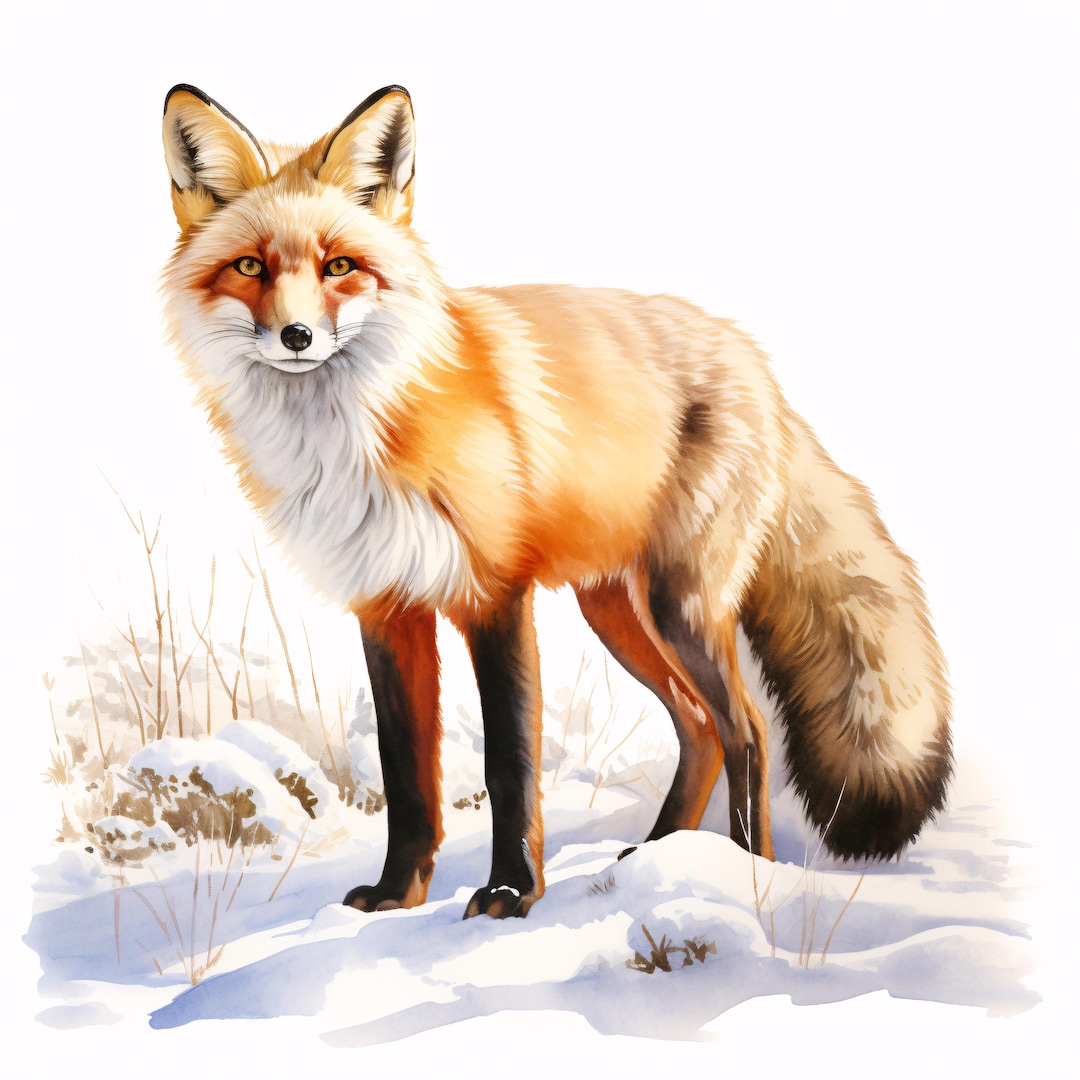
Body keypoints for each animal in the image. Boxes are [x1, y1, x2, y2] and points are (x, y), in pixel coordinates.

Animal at [161, 83, 952, 920]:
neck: (357, 437)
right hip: (614, 610)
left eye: (340, 265)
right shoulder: (387, 604)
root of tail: (753, 361)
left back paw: (745, 868)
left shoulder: (493, 592)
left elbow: (510, 763)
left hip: (681, 607)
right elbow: (407, 774)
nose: (297, 336)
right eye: (249, 266)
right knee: (699, 727)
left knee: (747, 729)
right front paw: (398, 896)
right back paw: (664, 850)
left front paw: (511, 891)